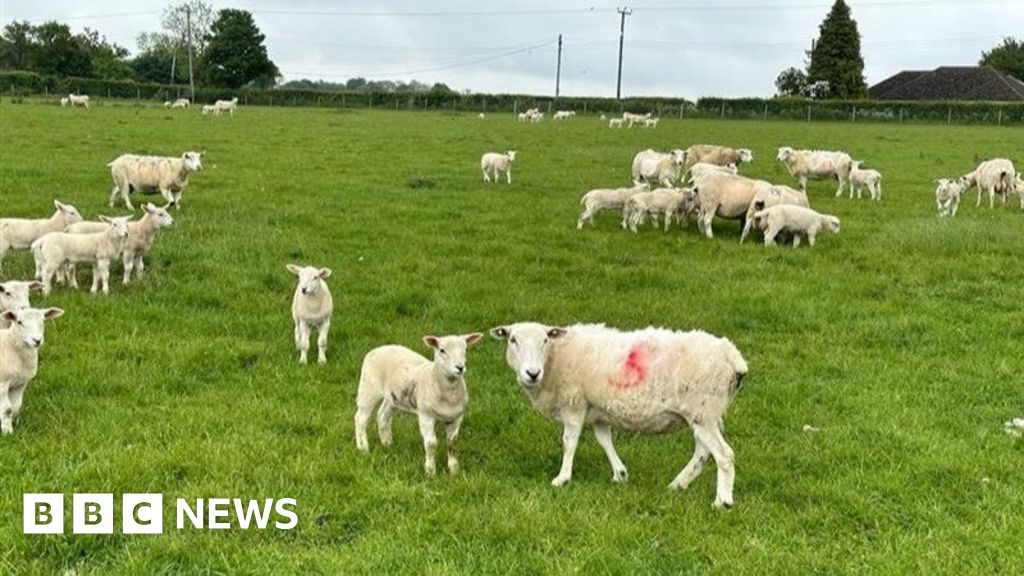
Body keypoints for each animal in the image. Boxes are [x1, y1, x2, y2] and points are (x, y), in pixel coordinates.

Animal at [354, 333, 484, 475]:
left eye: (465, 349)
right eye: (442, 350)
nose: (460, 367)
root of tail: (377, 349)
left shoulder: (456, 418)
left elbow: (452, 444)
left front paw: (454, 470)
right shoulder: (426, 416)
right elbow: (431, 444)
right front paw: (430, 471)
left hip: (393, 397)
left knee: (383, 416)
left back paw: (387, 444)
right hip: (368, 389)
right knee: (360, 419)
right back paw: (363, 448)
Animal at [490, 322, 748, 508]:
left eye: (545, 340)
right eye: (513, 340)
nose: (532, 373)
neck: (555, 359)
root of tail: (732, 355)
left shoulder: (574, 403)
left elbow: (569, 443)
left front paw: (562, 478)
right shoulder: (597, 411)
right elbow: (605, 441)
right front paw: (620, 474)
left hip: (703, 411)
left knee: (724, 455)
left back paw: (722, 501)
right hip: (705, 414)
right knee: (703, 453)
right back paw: (678, 484)